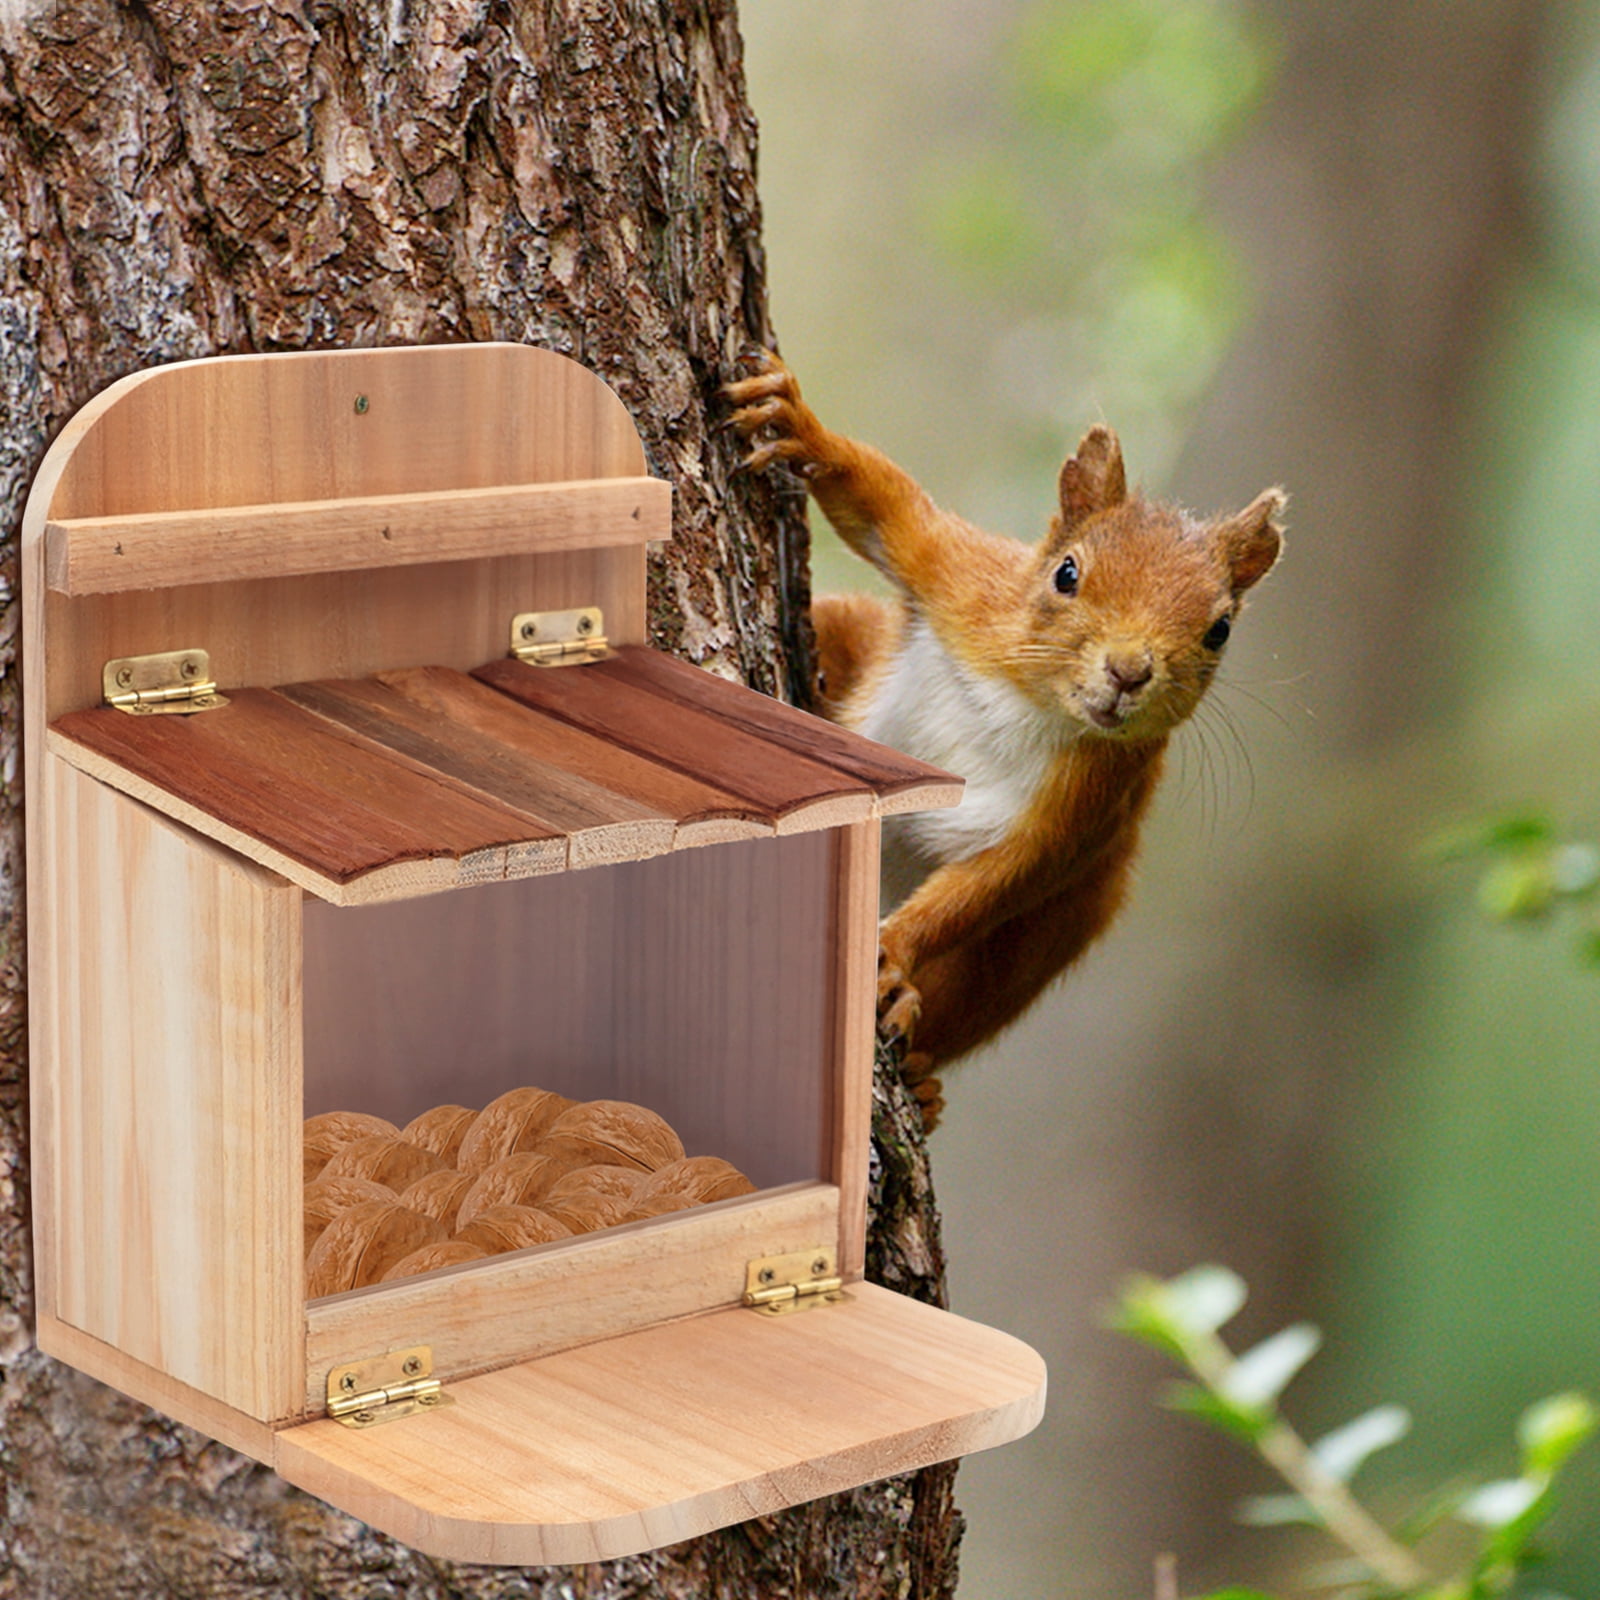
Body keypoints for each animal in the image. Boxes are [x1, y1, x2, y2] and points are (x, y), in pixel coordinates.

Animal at [726, 353, 1284, 1126]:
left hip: (1062, 925)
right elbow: (889, 510)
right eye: (1066, 572)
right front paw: (797, 422)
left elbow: (999, 878)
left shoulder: (1094, 798)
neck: (1029, 700)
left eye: (1220, 629)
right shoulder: (962, 579)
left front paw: (892, 948)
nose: (1128, 671)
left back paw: (920, 1066)